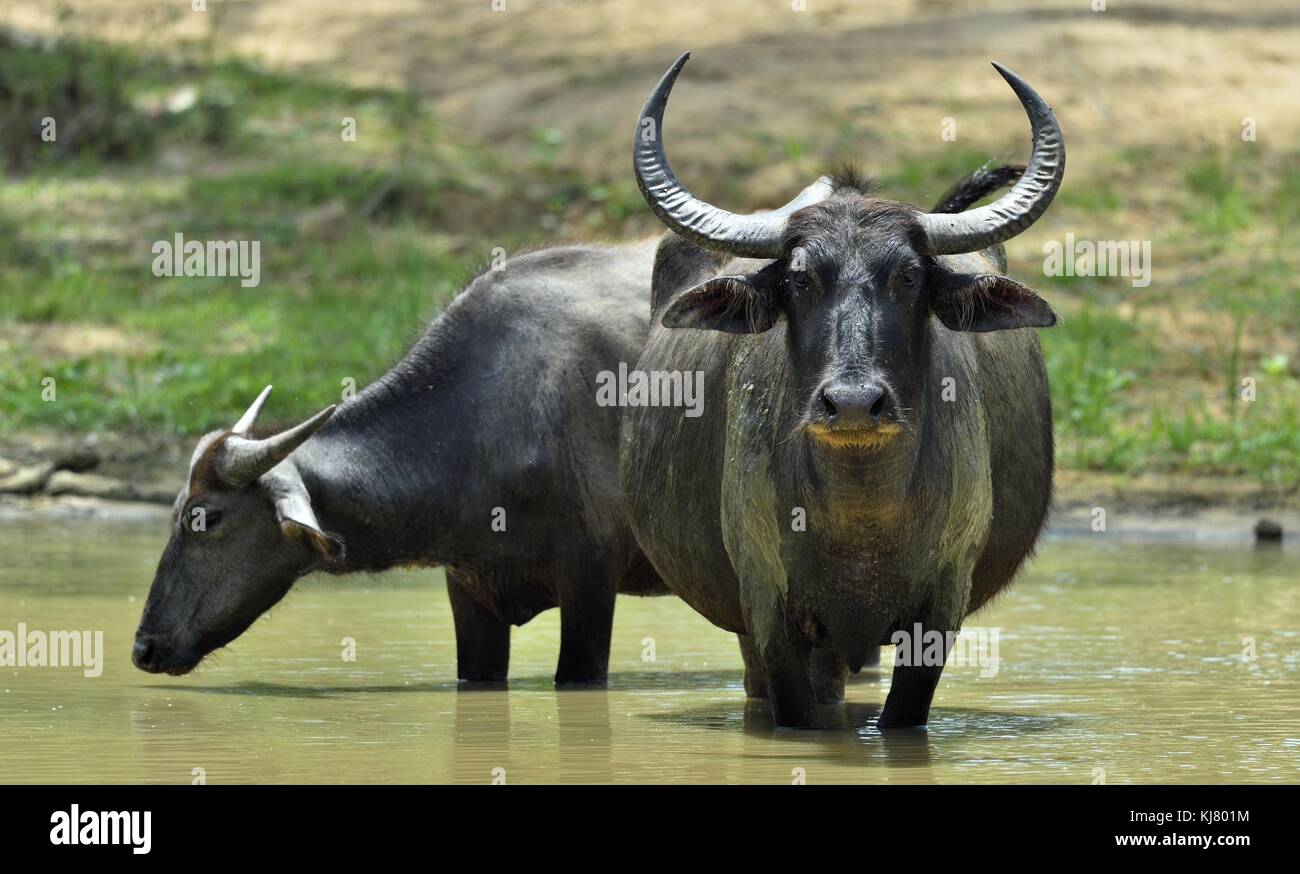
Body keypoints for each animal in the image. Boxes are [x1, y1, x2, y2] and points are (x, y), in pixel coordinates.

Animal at [619, 53, 1064, 729]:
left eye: (908, 277)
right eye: (800, 281)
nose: (853, 403)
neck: (861, 507)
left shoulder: (940, 608)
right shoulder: (768, 604)